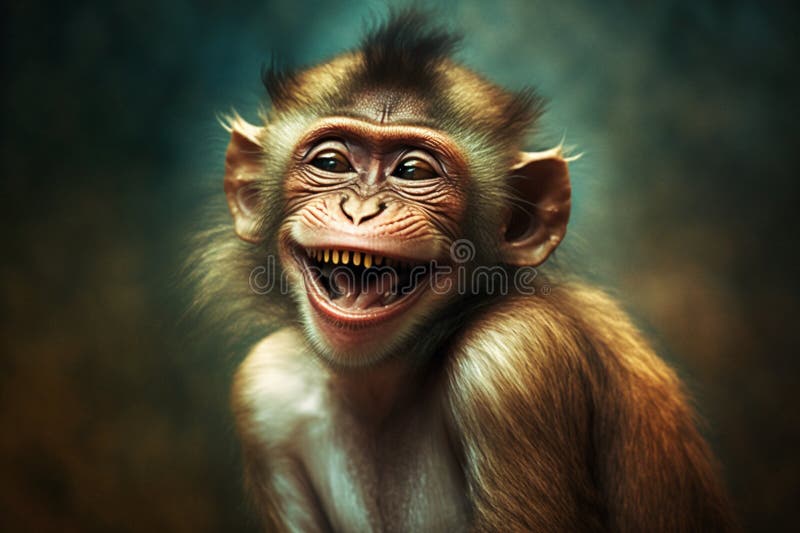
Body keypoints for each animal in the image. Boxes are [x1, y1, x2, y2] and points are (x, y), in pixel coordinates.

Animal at [192, 10, 737, 533]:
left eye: (413, 172)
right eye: (331, 163)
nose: (361, 211)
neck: (392, 378)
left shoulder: (515, 360)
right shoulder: (263, 387)